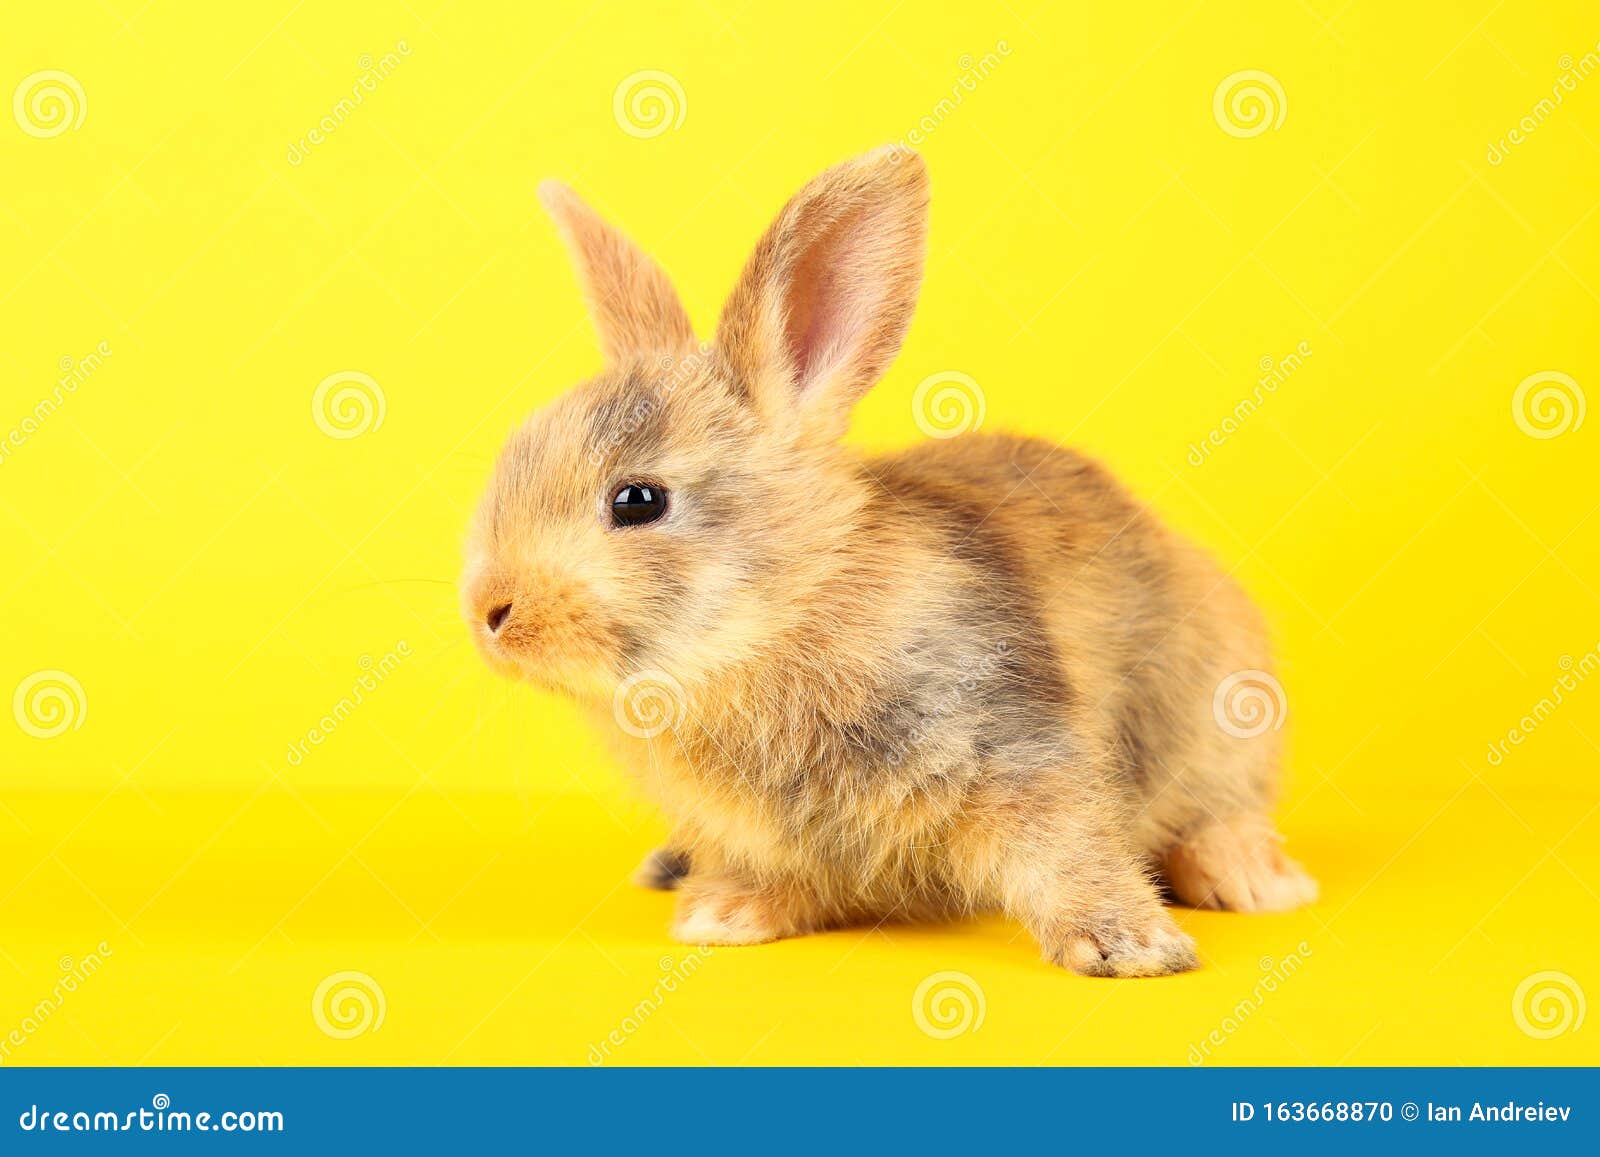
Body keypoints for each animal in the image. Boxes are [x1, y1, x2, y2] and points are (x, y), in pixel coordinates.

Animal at [462, 146, 1316, 977]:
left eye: (638, 500)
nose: (489, 612)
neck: (779, 618)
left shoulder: (1013, 744)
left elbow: (1063, 849)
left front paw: (1133, 948)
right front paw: (724, 913)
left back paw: (1253, 879)